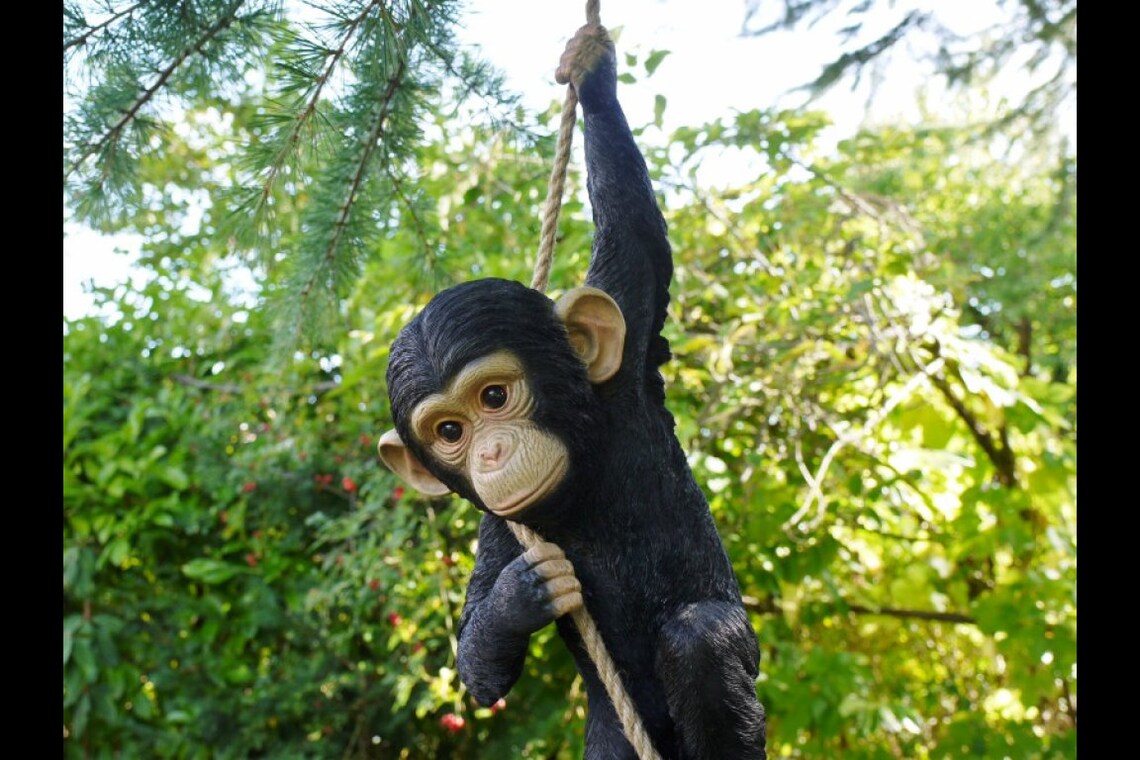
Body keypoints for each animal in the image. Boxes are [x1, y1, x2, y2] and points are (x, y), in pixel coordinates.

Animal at [378, 23, 766, 760]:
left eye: (494, 398)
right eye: (450, 432)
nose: (491, 453)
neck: (583, 475)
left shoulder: (630, 352)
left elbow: (634, 236)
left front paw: (593, 75)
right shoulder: (501, 527)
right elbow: (476, 663)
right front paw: (518, 598)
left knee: (702, 640)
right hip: (611, 732)